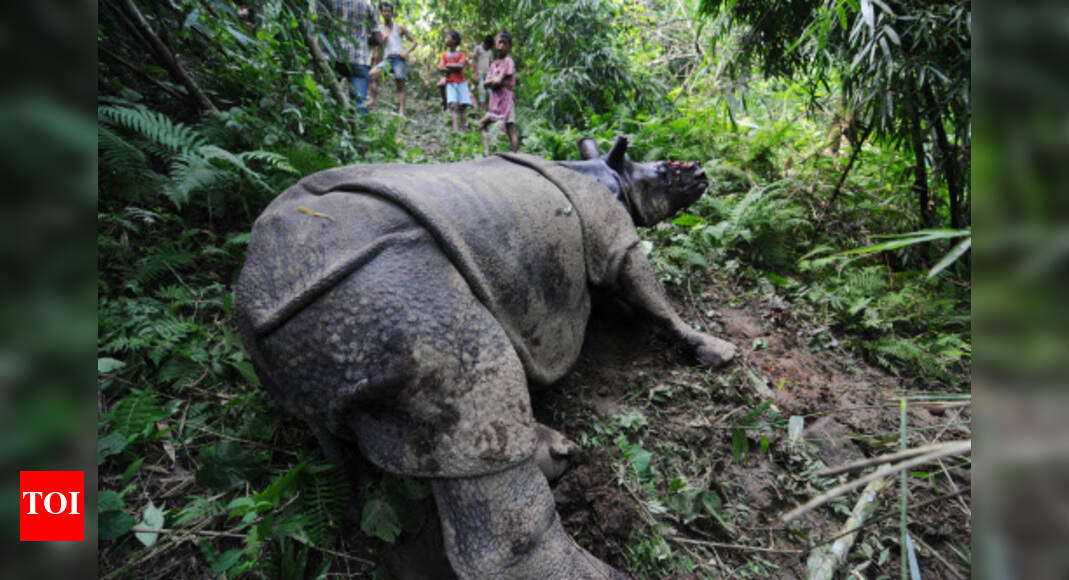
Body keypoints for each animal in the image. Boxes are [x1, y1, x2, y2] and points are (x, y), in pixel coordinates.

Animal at [235, 137, 736, 578]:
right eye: (670, 171)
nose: (702, 173)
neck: (612, 176)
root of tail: (255, 309)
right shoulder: (615, 240)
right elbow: (653, 295)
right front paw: (717, 350)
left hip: (315, 317)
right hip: (374, 283)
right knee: (473, 370)